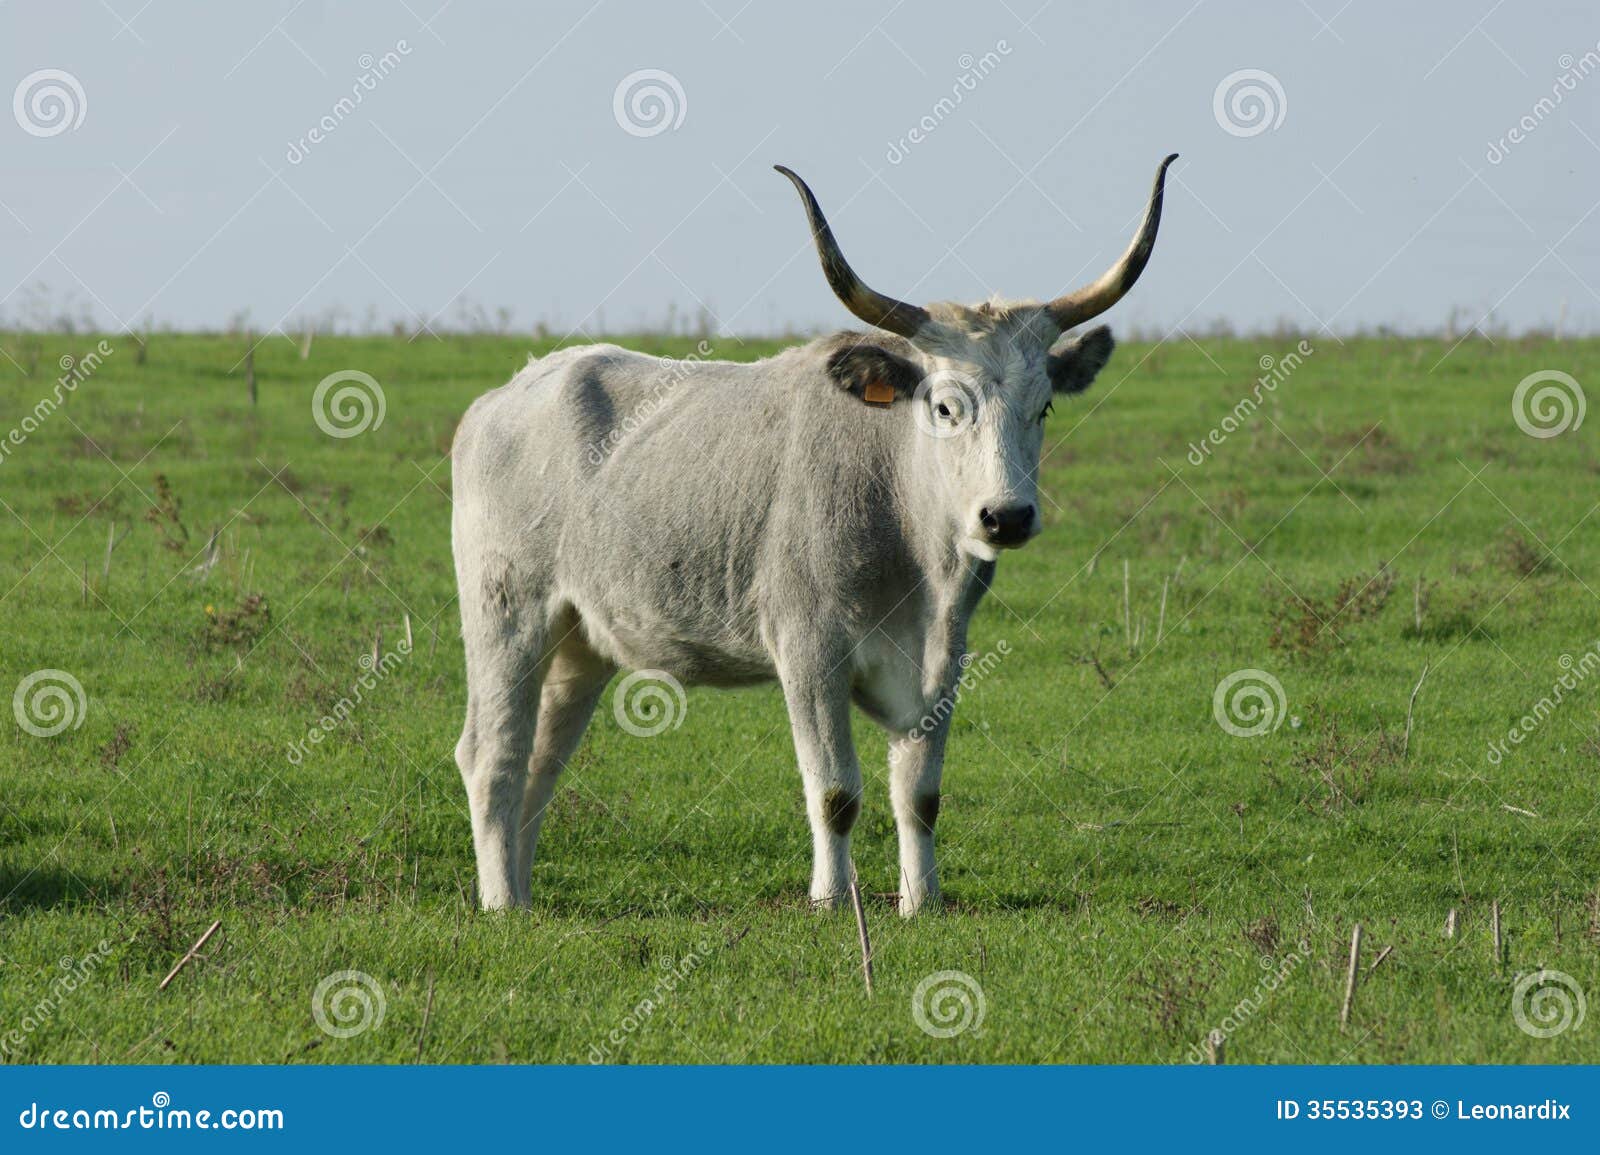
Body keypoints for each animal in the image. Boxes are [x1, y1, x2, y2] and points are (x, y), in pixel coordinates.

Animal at [451, 155, 1177, 913]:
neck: (920, 560)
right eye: (946, 407)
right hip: (507, 616)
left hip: (579, 640)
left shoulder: (942, 665)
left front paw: (923, 901)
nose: (1005, 516)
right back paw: (500, 905)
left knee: (541, 759)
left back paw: (523, 896)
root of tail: (514, 391)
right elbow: (835, 792)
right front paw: (831, 900)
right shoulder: (809, 650)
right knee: (493, 756)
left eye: (1044, 408)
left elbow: (920, 796)